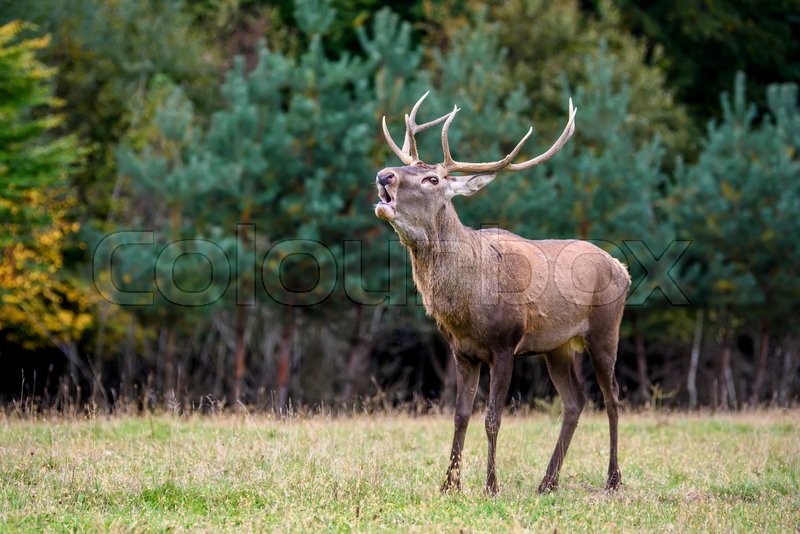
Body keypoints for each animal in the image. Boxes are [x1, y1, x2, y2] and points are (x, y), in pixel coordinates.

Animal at [374, 92, 630, 495]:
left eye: (432, 178)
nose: (384, 174)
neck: (465, 305)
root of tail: (622, 268)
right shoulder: (462, 351)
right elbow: (461, 415)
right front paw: (449, 485)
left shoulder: (506, 344)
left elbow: (492, 417)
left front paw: (490, 486)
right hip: (557, 346)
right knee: (575, 402)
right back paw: (547, 482)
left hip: (606, 329)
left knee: (613, 397)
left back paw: (613, 479)